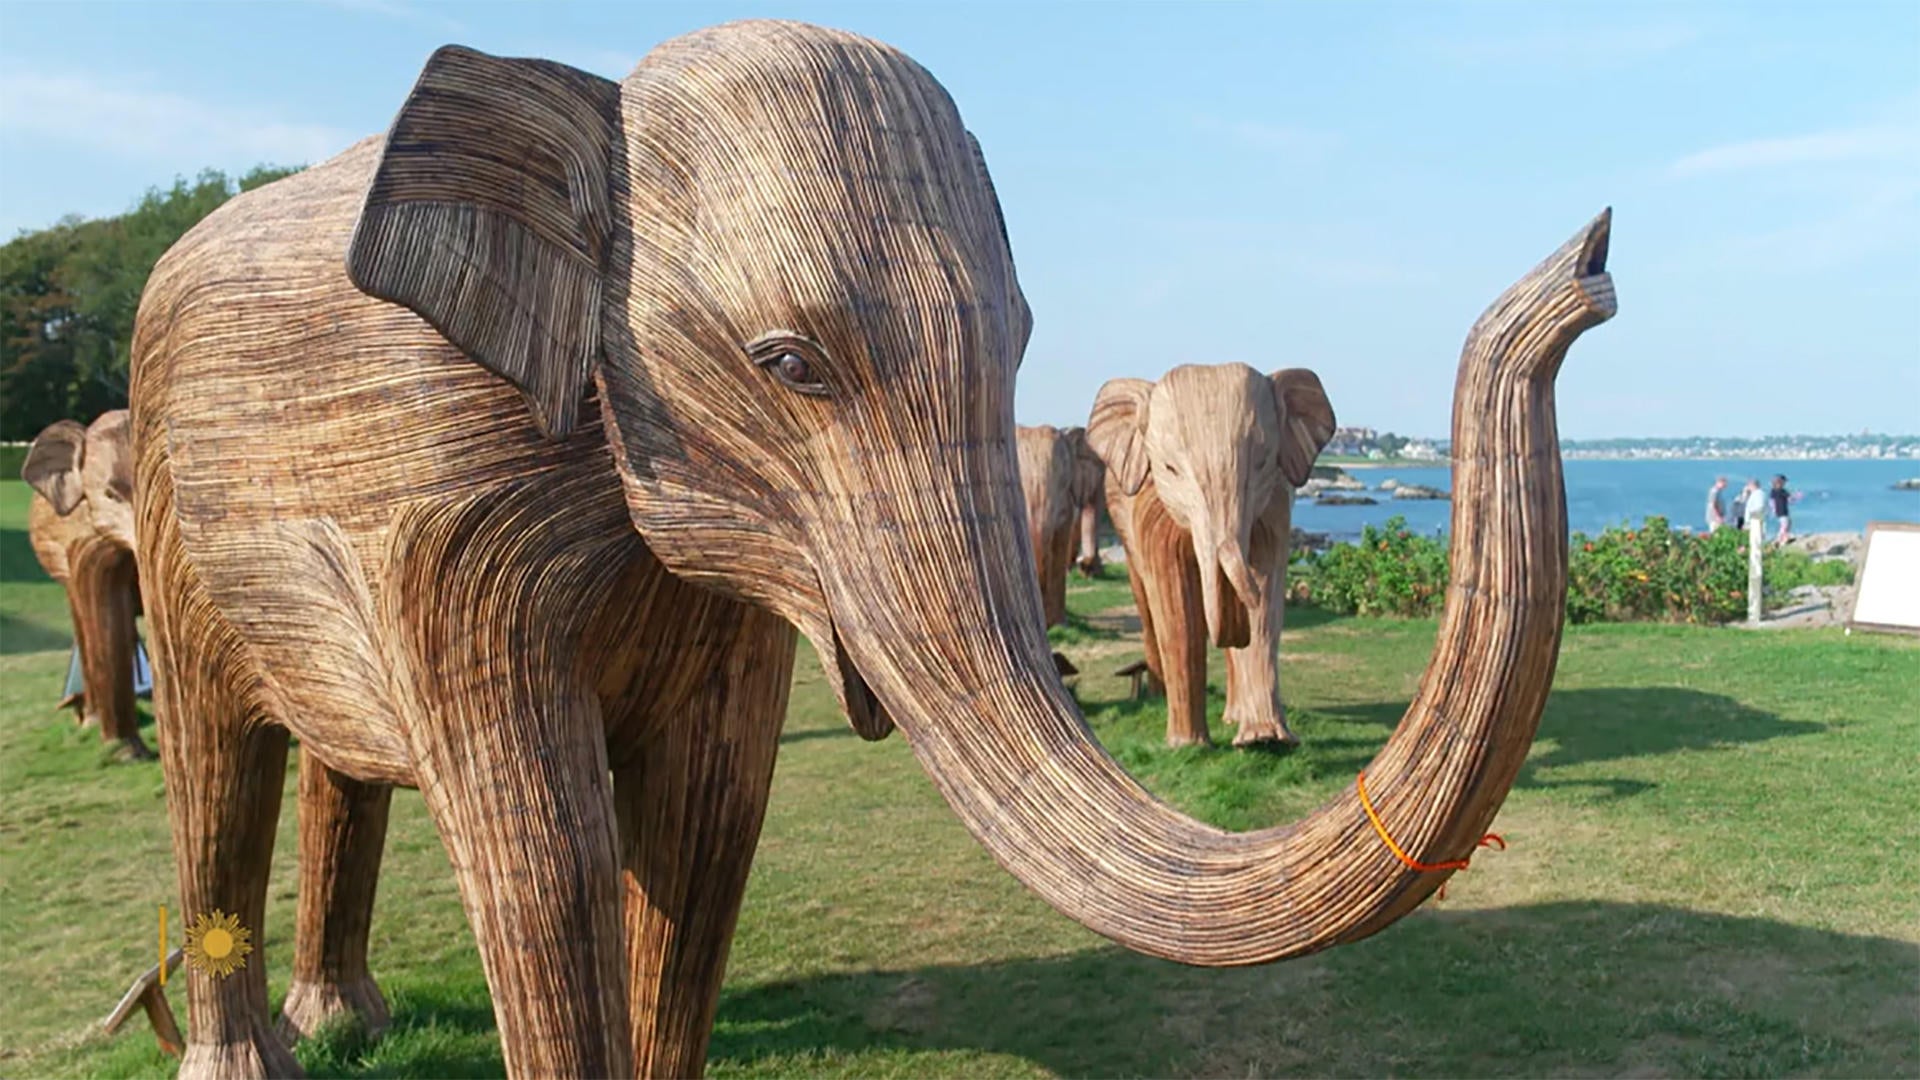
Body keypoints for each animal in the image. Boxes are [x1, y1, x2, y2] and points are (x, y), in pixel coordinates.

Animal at [1087, 365, 1335, 749]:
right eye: (1169, 468)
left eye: (1263, 461)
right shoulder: (1150, 511)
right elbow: (1175, 607)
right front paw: (1186, 746)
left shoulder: (1275, 501)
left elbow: (1266, 596)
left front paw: (1266, 740)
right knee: (1147, 604)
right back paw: (1160, 697)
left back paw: (1234, 717)